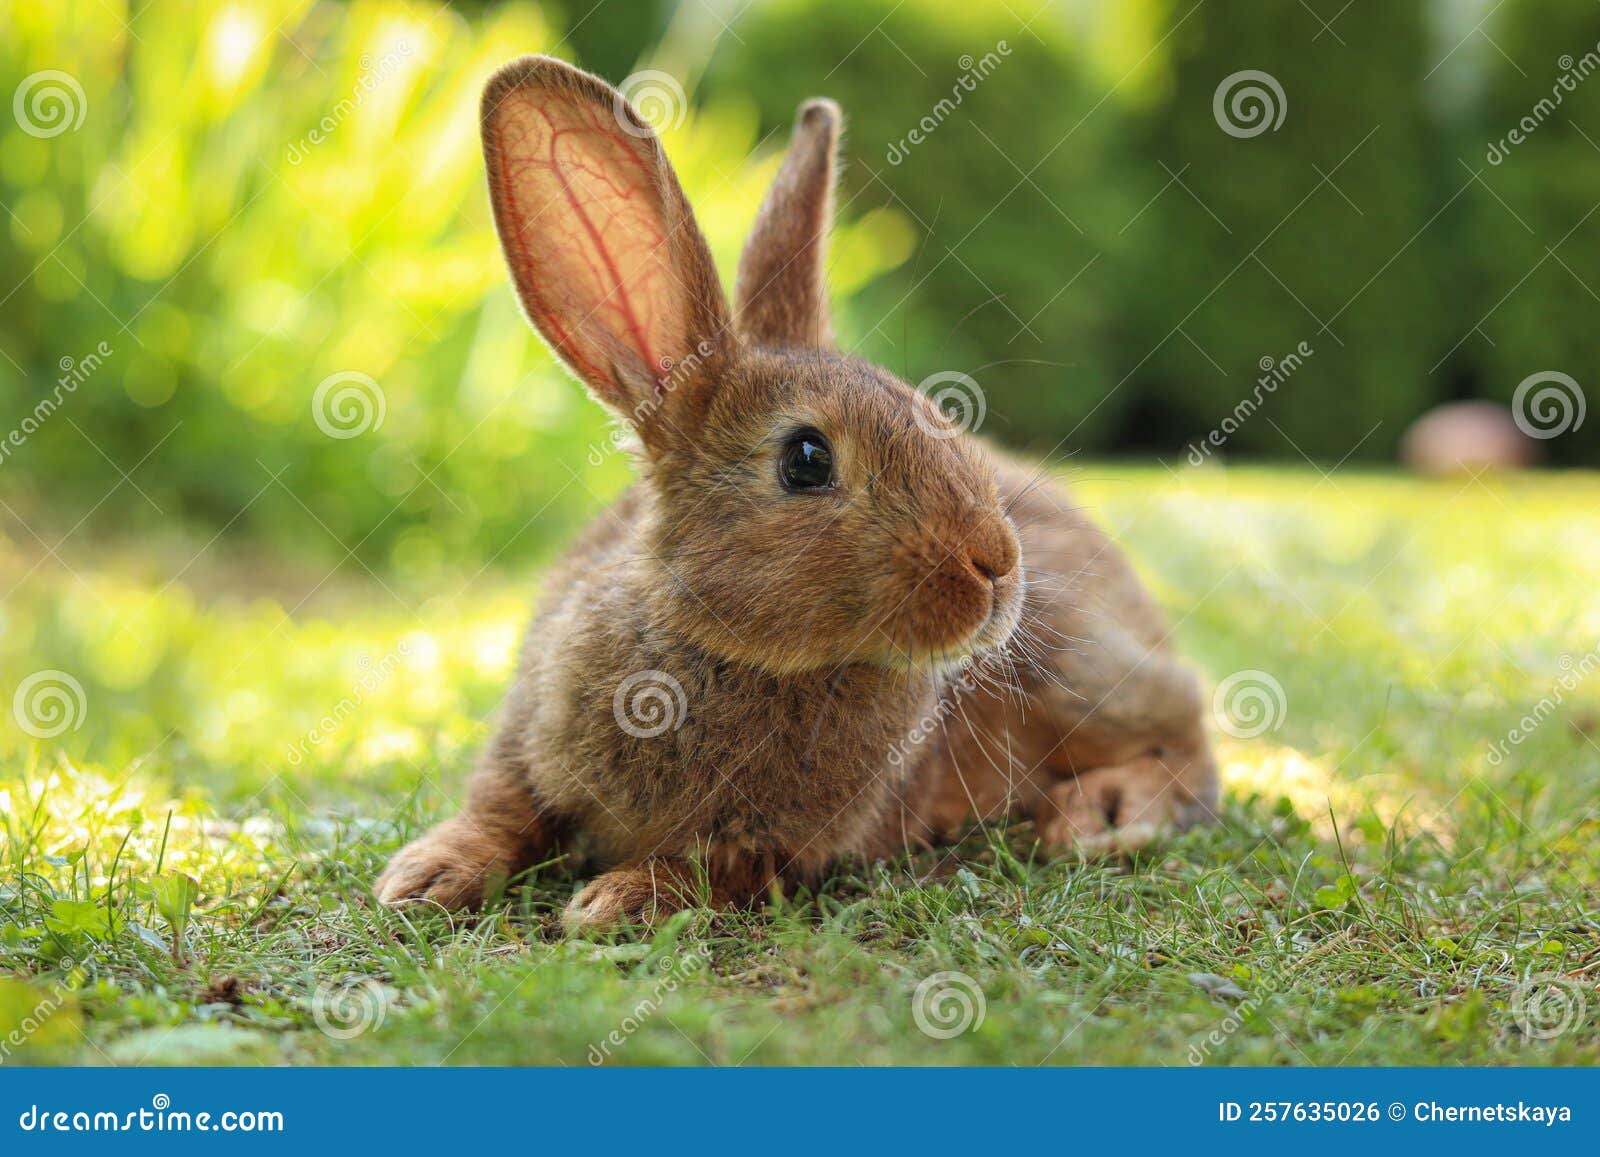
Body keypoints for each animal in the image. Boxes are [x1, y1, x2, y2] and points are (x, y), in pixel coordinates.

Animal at [374, 55, 1218, 932]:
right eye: (806, 459)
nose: (996, 563)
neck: (726, 645)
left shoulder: (778, 846)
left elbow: (708, 871)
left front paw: (614, 900)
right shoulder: (525, 737)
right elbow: (502, 807)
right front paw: (423, 875)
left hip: (1079, 668)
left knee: (1187, 742)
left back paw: (1101, 815)